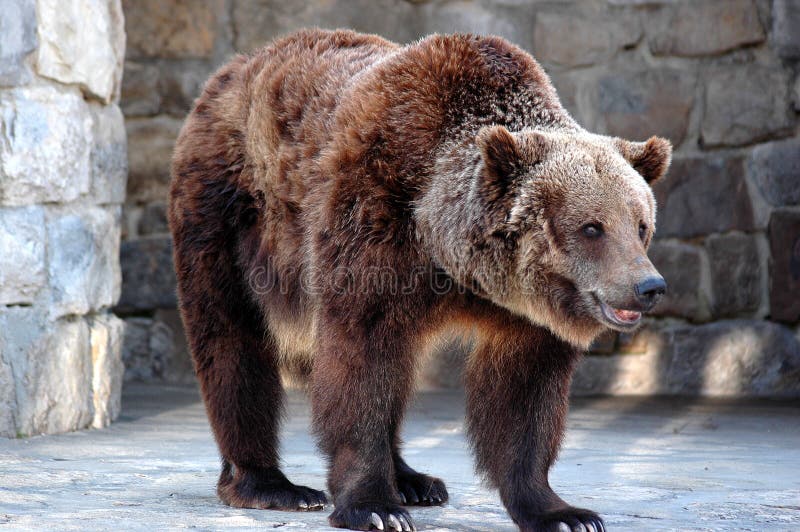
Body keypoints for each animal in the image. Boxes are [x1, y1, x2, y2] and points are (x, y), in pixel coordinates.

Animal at [168, 29, 670, 532]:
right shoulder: (372, 221)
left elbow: (524, 398)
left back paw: (415, 480)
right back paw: (271, 484)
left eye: (641, 225)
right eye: (592, 227)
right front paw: (375, 507)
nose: (649, 286)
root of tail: (233, 68)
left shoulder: (528, 313)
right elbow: (360, 364)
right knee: (232, 344)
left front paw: (564, 513)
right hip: (228, 217)